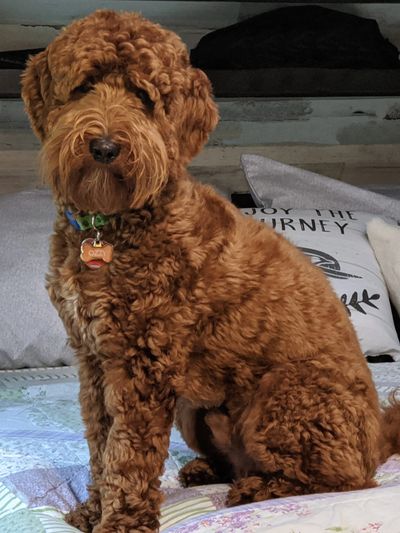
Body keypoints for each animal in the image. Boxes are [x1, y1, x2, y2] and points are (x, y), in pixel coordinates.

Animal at [22, 10, 400, 533]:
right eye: (84, 87)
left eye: (145, 98)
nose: (104, 147)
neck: (113, 224)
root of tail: (377, 441)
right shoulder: (95, 360)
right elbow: (101, 444)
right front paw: (94, 510)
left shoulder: (140, 368)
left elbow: (127, 455)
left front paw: (121, 521)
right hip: (194, 409)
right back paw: (207, 471)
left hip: (283, 397)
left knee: (343, 479)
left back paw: (260, 489)